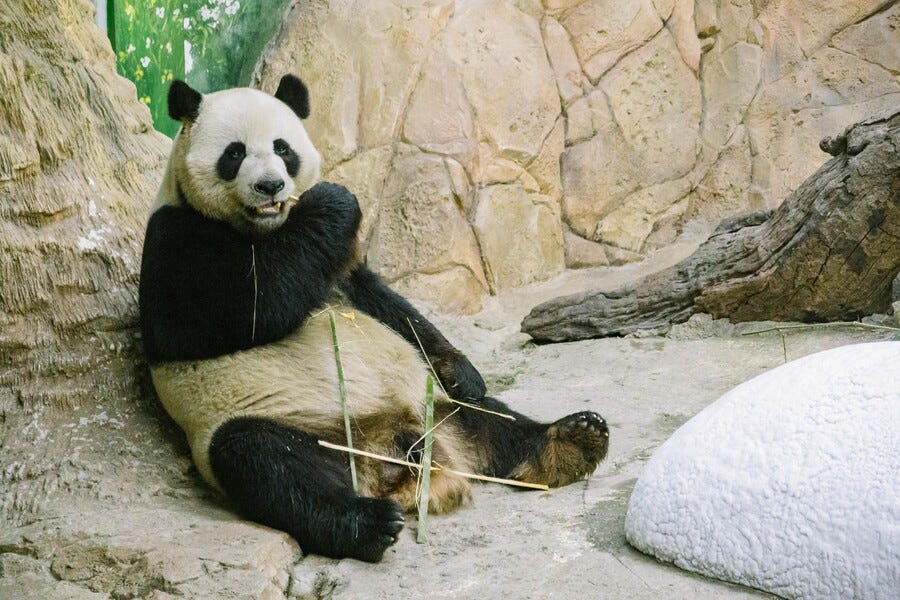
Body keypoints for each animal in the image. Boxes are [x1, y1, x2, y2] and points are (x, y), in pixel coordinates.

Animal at [139, 74, 609, 563]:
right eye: (234, 153)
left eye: (283, 148)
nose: (271, 186)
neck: (266, 228)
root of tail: (392, 461)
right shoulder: (175, 234)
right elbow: (217, 316)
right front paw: (332, 202)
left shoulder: (341, 265)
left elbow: (382, 301)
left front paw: (463, 368)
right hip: (271, 420)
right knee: (268, 463)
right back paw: (366, 523)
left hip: (430, 404)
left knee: (489, 418)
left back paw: (573, 440)